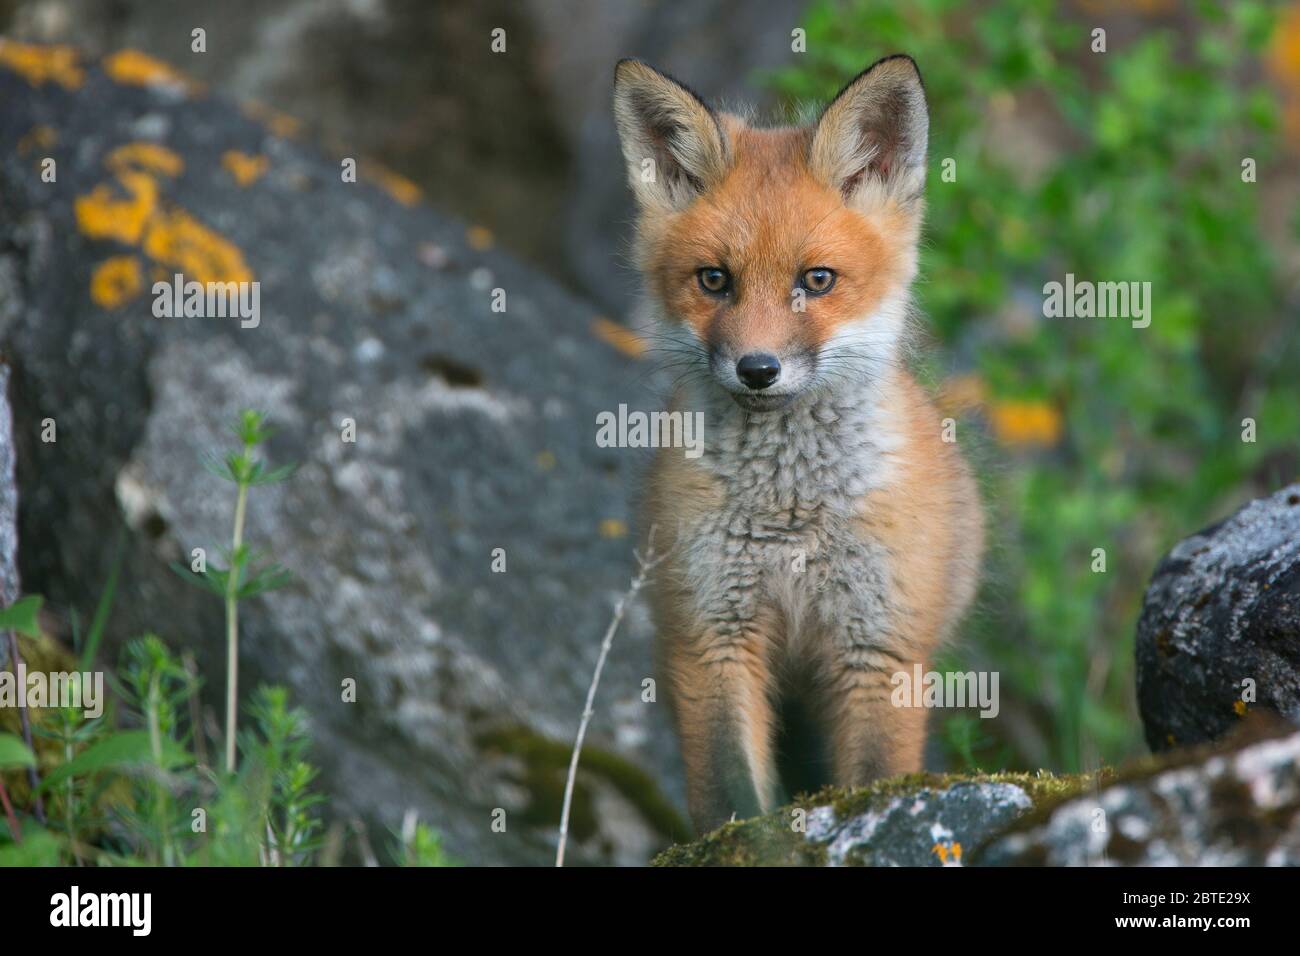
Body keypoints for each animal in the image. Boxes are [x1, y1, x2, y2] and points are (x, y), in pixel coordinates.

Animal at [612, 54, 985, 834]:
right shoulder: (711, 636)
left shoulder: (880, 647)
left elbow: (873, 777)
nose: (757, 369)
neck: (790, 512)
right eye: (714, 280)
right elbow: (731, 795)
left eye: (816, 280)